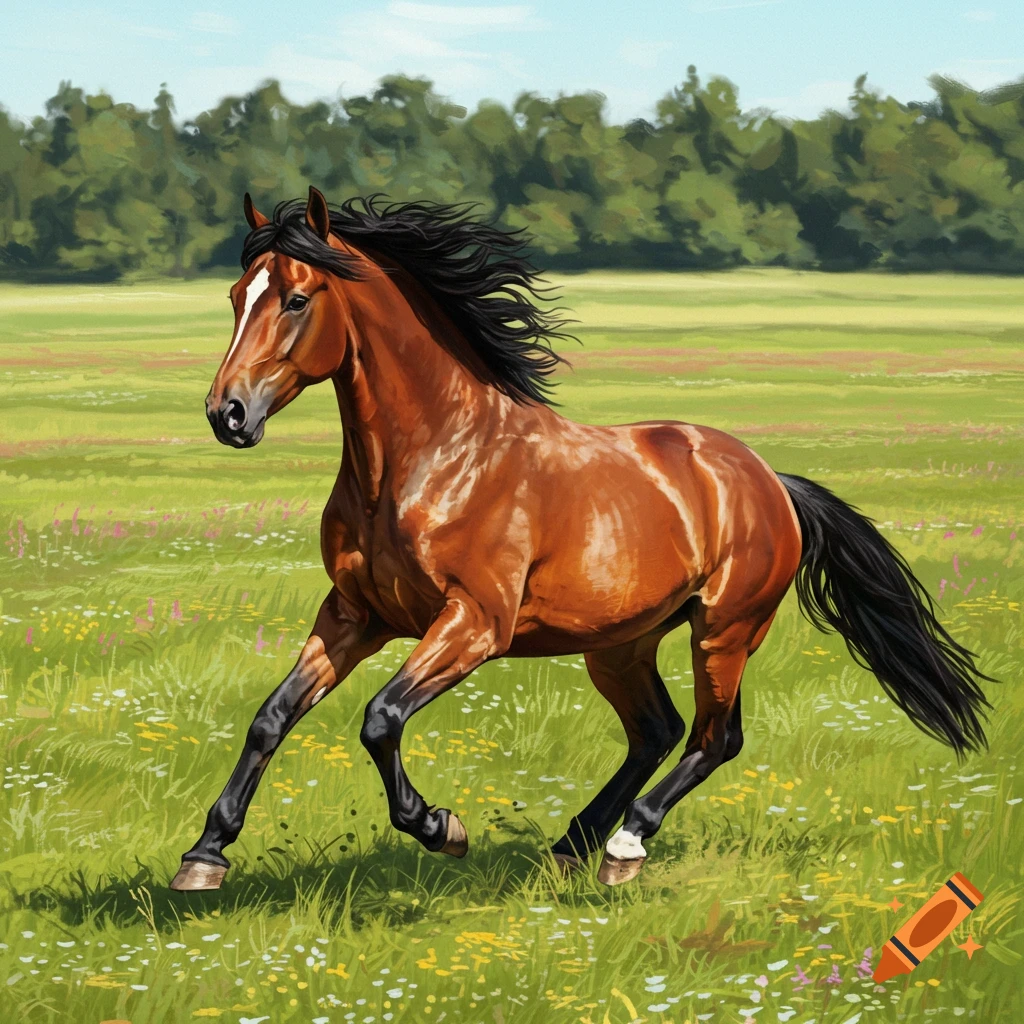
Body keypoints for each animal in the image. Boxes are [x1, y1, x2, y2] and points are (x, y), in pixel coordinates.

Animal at [170, 187, 992, 891]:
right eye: (236, 297)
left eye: (297, 298)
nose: (227, 414)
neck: (432, 458)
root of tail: (768, 479)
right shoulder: (353, 614)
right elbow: (271, 717)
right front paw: (205, 854)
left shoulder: (474, 624)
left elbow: (381, 719)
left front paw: (441, 827)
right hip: (620, 643)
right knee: (657, 730)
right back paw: (573, 842)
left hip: (724, 630)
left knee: (712, 738)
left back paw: (625, 844)